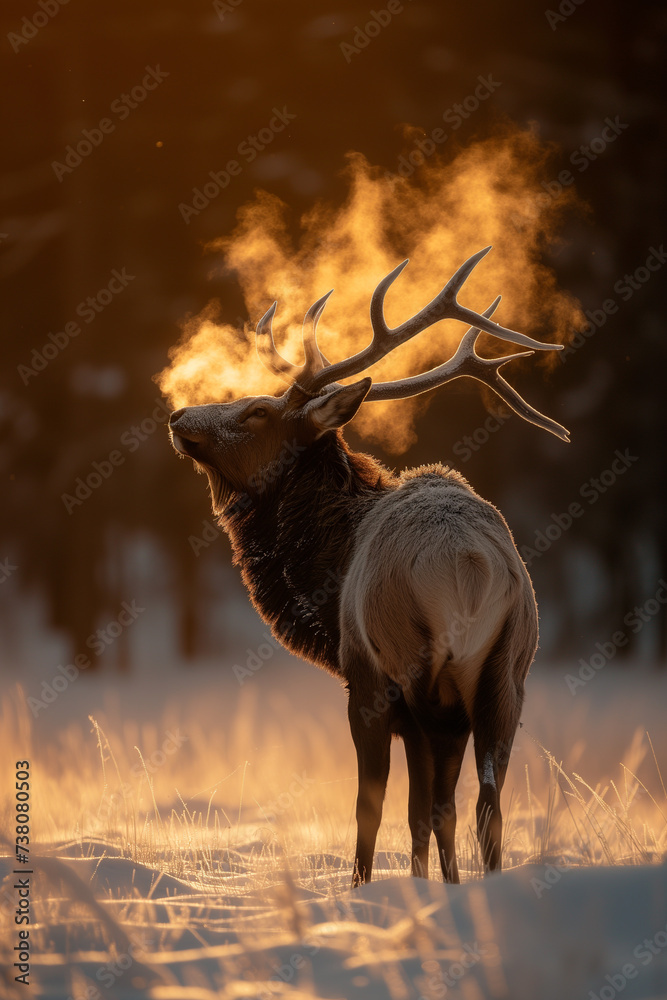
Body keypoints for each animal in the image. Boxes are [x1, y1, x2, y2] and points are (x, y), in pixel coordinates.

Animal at [168, 245, 569, 886]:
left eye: (256, 411)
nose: (178, 416)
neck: (325, 581)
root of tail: (471, 569)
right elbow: (427, 816)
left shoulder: (365, 678)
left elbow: (377, 807)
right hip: (506, 676)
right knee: (484, 806)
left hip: (412, 670)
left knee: (413, 803)